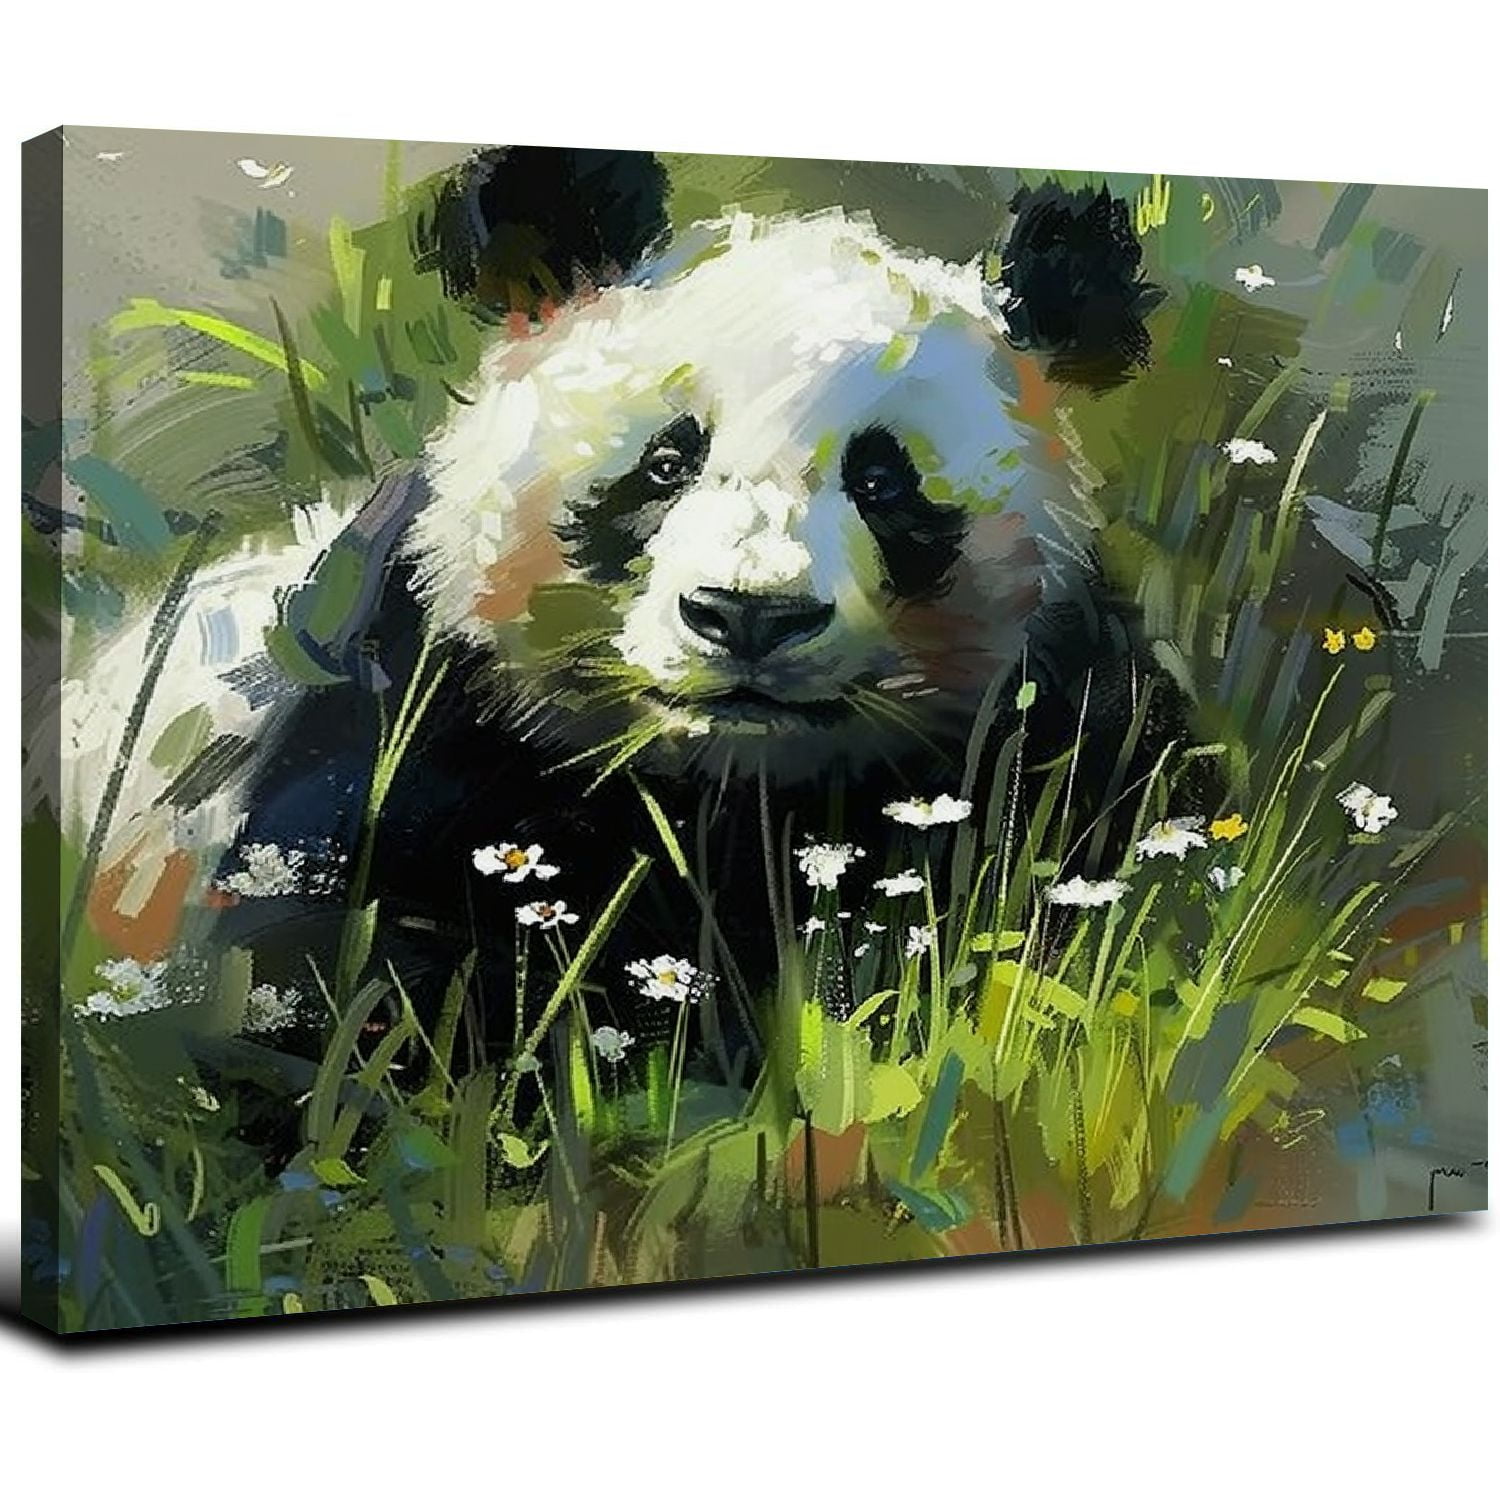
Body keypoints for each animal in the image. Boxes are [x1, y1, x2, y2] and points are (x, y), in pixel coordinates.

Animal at [67, 147, 1184, 1077]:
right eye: (666, 463)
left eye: (883, 483)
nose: (747, 616)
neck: (730, 785)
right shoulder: (419, 695)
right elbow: (345, 957)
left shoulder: (1053, 719)